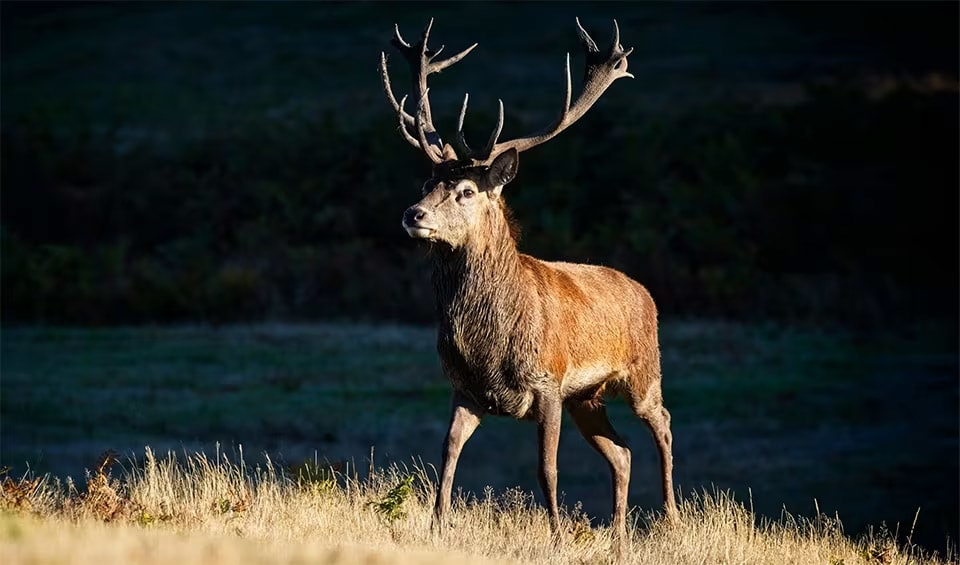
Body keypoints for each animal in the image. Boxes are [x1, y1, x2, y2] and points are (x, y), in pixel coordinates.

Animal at [379, 18, 680, 543]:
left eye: (465, 191)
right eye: (426, 184)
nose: (413, 214)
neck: (487, 342)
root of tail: (644, 292)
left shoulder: (548, 381)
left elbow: (547, 468)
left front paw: (557, 537)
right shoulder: (464, 389)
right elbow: (447, 455)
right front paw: (438, 526)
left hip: (642, 371)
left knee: (661, 422)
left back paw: (673, 520)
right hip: (587, 398)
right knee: (621, 452)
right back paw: (619, 536)